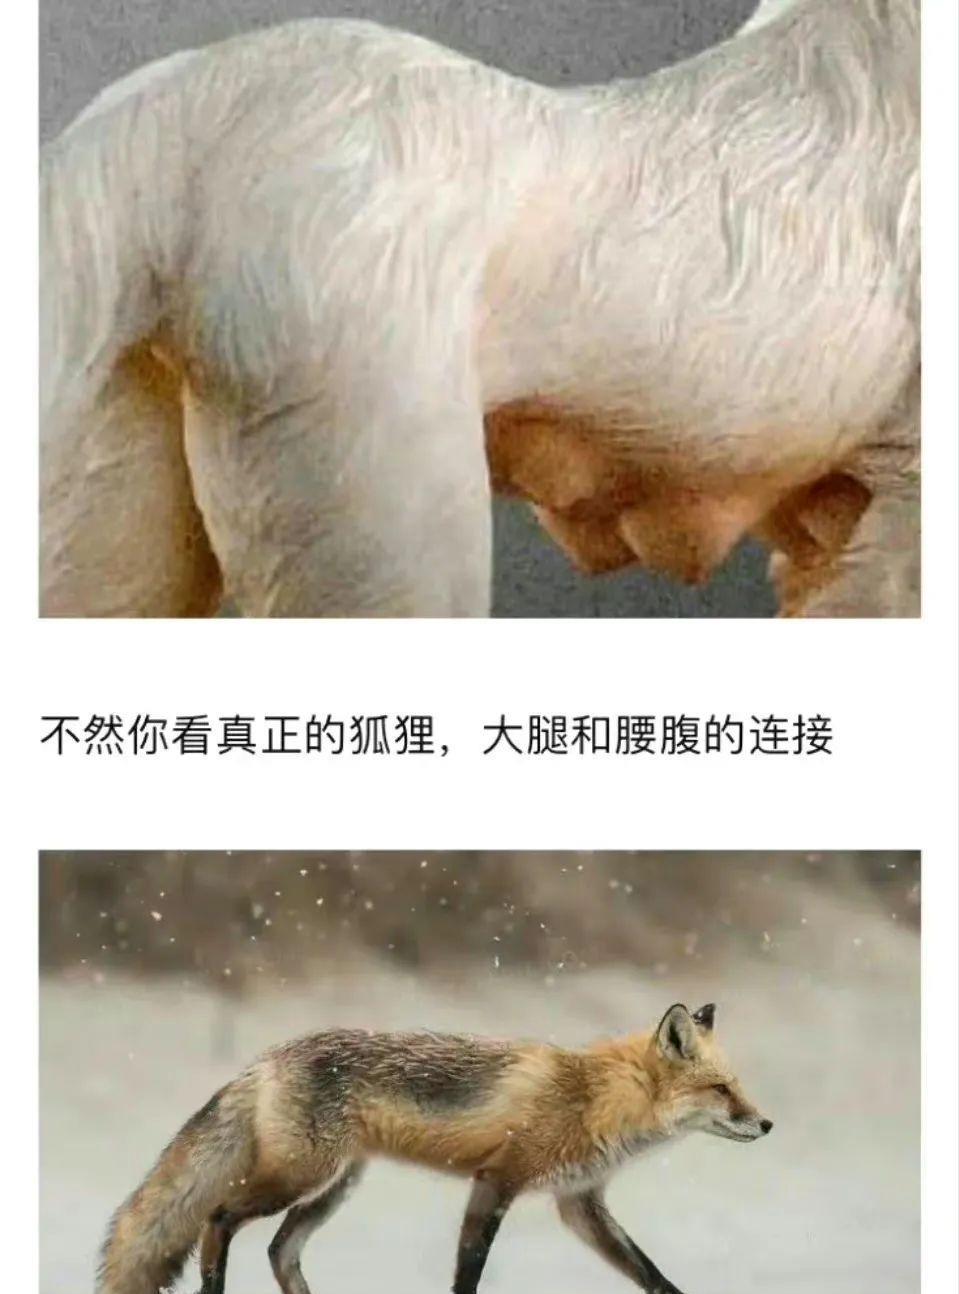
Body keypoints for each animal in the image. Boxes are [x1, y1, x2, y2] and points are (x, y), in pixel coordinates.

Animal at [97, 1002, 772, 1294]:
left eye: (738, 1085)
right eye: (721, 1090)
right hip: (299, 1176)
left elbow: (651, 1274)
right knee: (217, 1220)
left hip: (336, 1186)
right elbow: (469, 1273)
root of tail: (264, 1059)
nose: (766, 1124)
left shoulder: (578, 1202)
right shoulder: (497, 1180)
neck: (591, 1097)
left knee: (279, 1249)